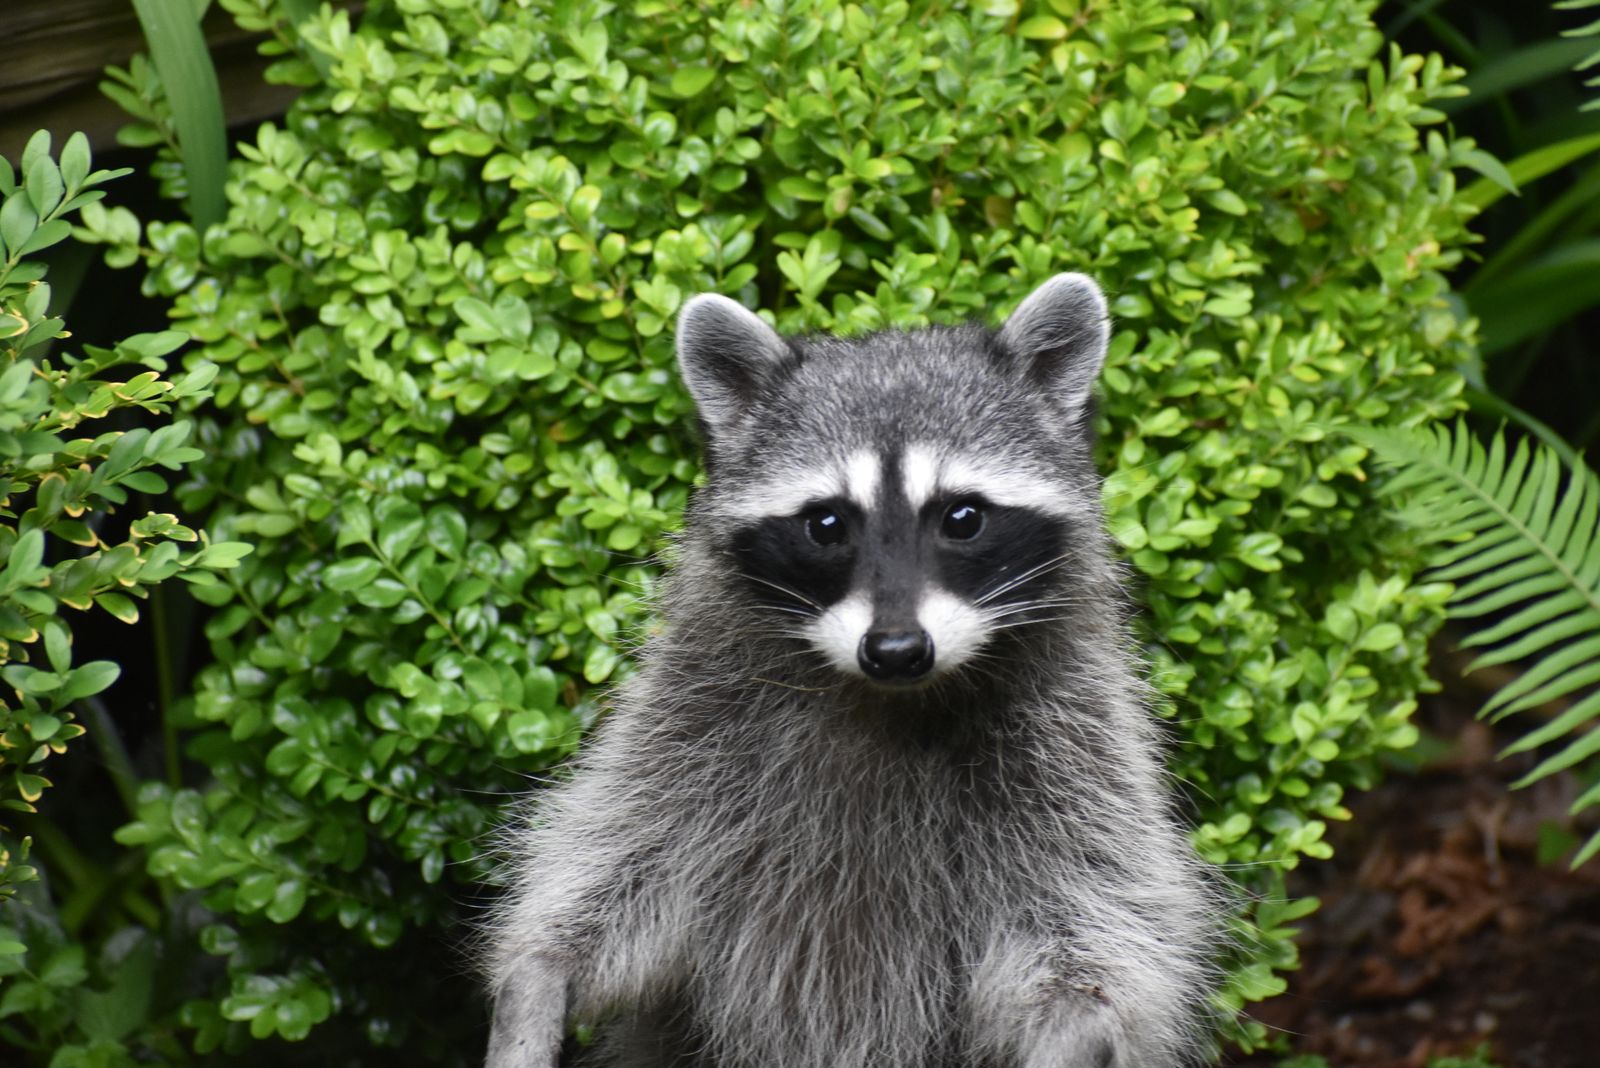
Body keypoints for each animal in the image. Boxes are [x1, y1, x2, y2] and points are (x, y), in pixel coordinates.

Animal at [484, 274, 1220, 1068]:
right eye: (827, 524)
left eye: (963, 518)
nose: (896, 649)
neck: (890, 696)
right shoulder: (690, 710)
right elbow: (625, 857)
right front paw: (539, 969)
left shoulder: (1075, 737)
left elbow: (1092, 909)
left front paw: (1072, 1027)